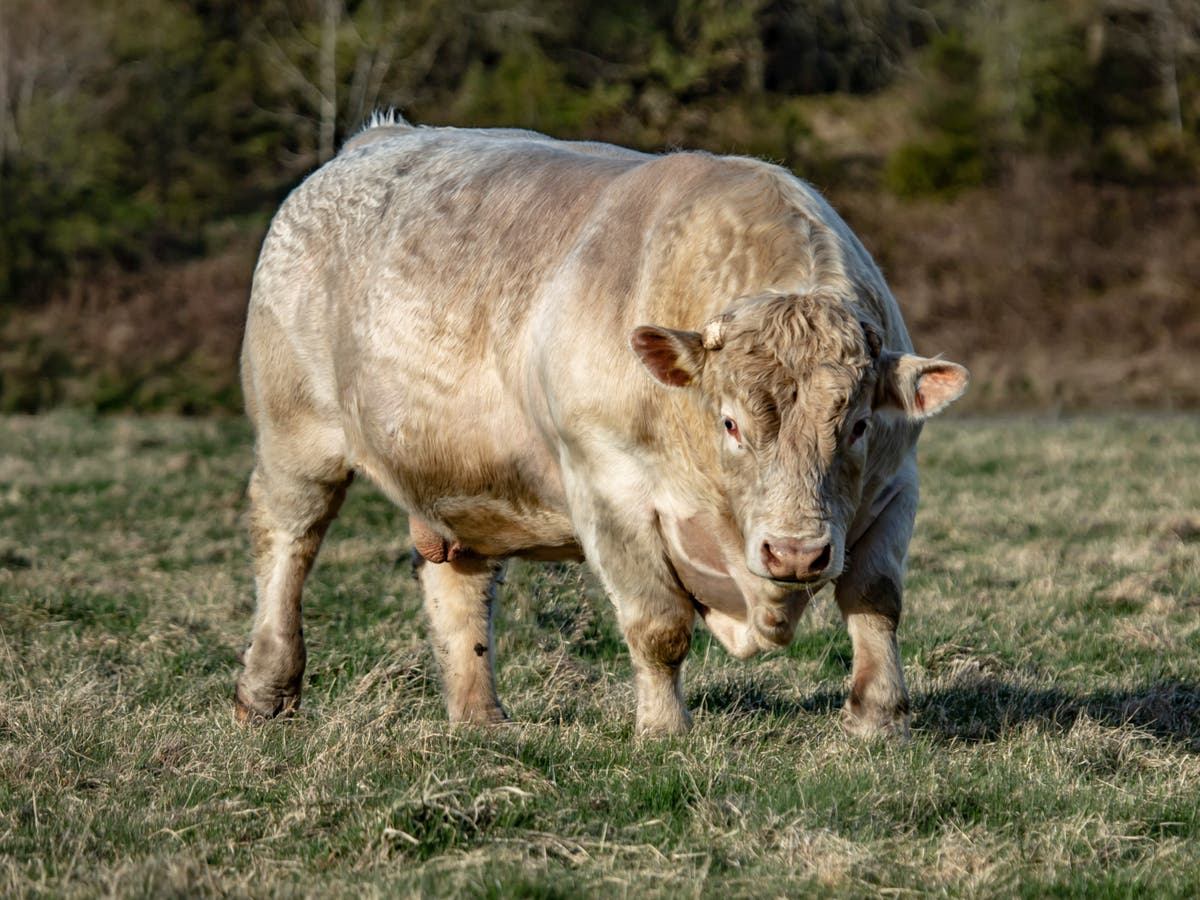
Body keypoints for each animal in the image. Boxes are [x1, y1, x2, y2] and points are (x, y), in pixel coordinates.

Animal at [235, 114, 968, 739]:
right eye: (730, 423)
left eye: (860, 425)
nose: (794, 554)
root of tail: (373, 140)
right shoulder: (608, 488)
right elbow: (658, 624)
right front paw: (664, 731)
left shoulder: (896, 486)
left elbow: (875, 599)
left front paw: (879, 720)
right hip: (295, 435)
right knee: (286, 542)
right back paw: (265, 690)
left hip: (460, 482)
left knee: (459, 584)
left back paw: (481, 719)